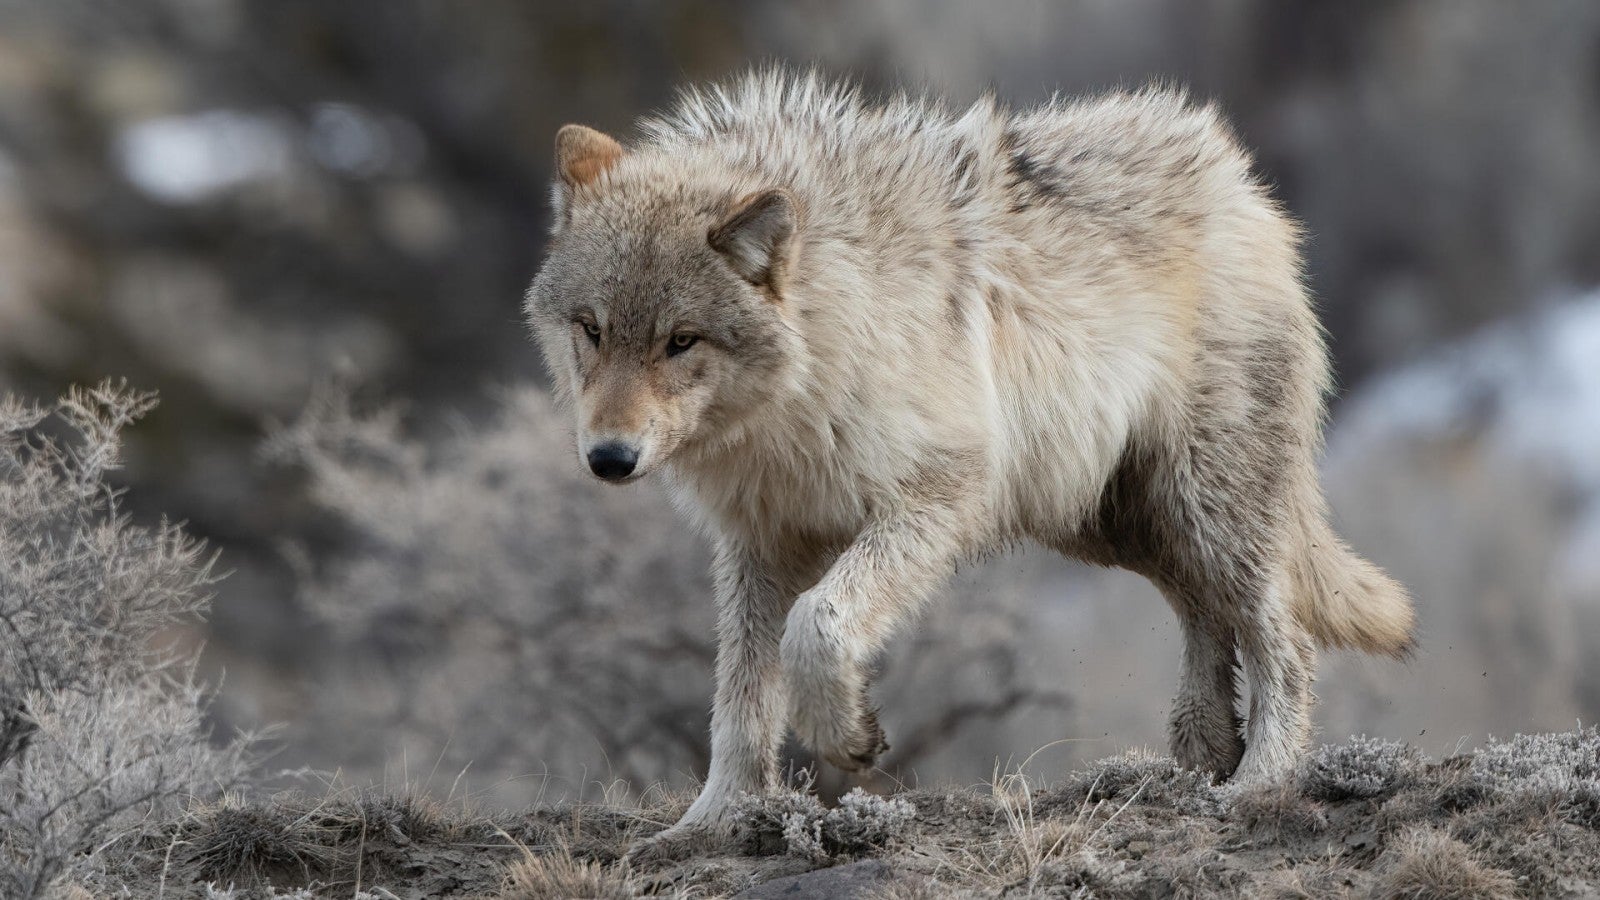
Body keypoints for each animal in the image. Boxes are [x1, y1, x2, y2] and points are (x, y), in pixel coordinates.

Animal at [524, 69, 1414, 843]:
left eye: (681, 341)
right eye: (592, 329)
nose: (609, 457)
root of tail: (1243, 183)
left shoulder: (937, 497)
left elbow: (819, 626)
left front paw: (847, 736)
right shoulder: (759, 544)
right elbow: (738, 700)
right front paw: (710, 822)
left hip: (1203, 506)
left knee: (1283, 635)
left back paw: (1260, 780)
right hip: (1114, 521)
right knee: (1204, 608)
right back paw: (1202, 757)